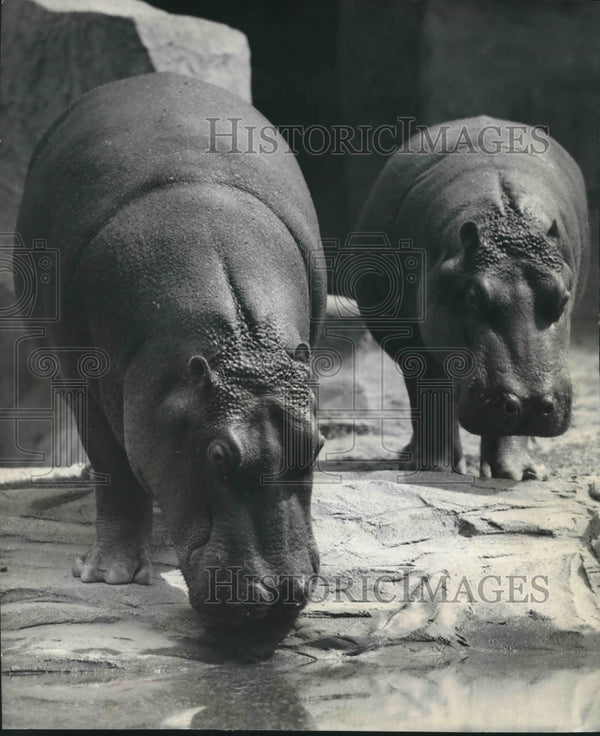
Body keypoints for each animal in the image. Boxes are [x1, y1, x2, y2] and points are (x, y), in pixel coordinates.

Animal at [15, 72, 326, 633]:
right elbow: (115, 469)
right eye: (217, 455)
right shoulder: (82, 383)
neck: (241, 346)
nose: (279, 594)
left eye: (316, 445)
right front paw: (110, 577)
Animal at [351, 116, 589, 480]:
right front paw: (433, 467)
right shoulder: (419, 342)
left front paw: (520, 473)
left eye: (563, 297)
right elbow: (431, 393)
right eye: (474, 298)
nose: (531, 404)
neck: (506, 222)